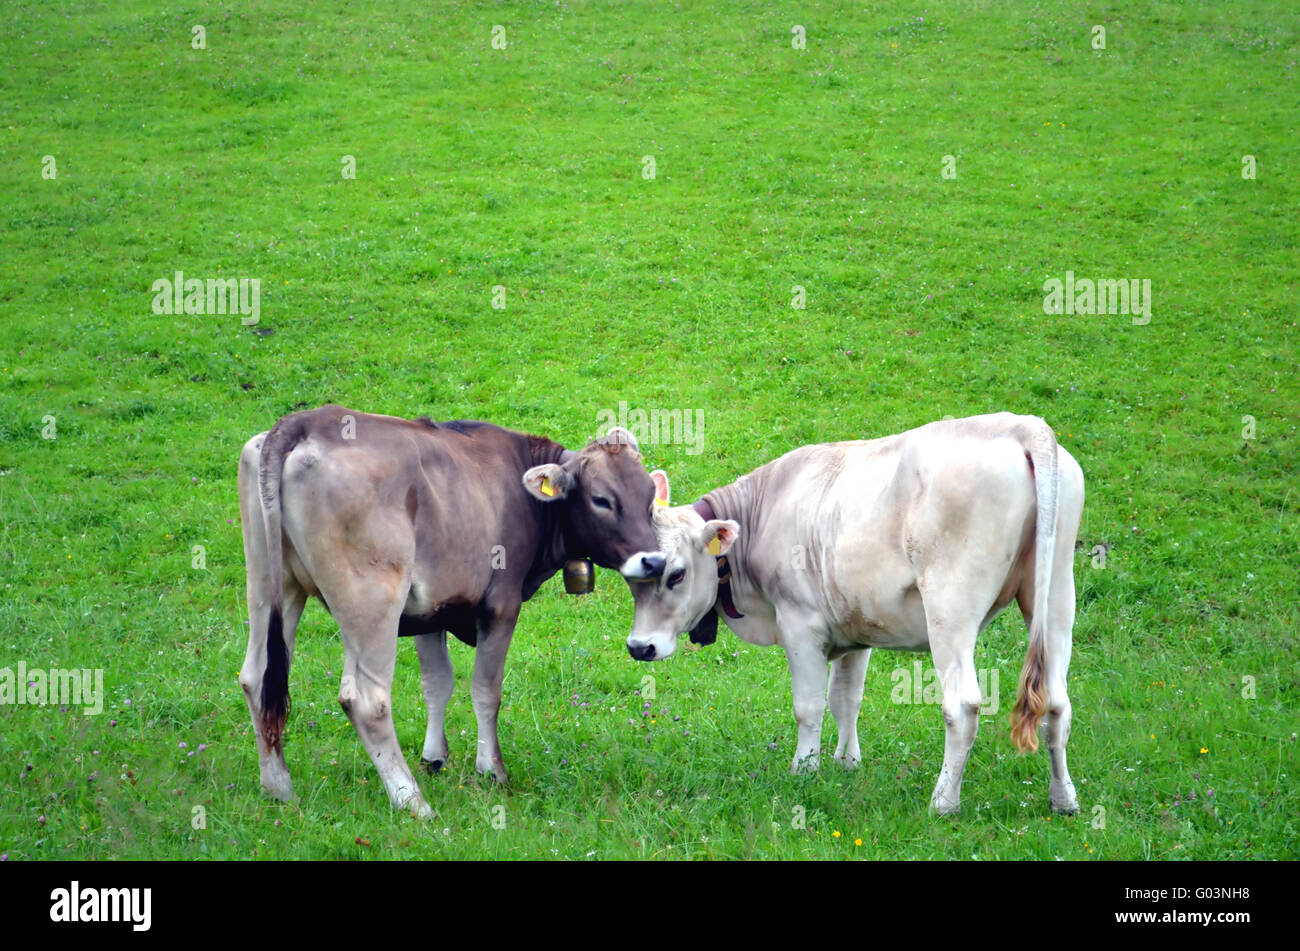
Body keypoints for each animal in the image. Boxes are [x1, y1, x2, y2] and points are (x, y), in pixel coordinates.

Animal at [238, 405, 669, 817]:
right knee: (365, 700)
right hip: (371, 600)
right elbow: (486, 690)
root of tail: (307, 421)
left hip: (269, 582)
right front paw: (491, 770)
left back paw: (278, 788)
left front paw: (434, 757)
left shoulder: (429, 611)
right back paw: (412, 801)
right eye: (602, 500)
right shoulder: (501, 605)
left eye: (649, 497)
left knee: (256, 676)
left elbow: (437, 682)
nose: (654, 561)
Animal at [624, 413, 1084, 816]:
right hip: (1056, 593)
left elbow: (809, 705)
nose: (638, 646)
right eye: (631, 578)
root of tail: (1020, 424)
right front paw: (846, 764)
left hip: (950, 607)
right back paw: (1063, 800)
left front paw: (803, 771)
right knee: (1057, 703)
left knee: (963, 705)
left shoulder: (800, 624)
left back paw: (943, 803)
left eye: (676, 574)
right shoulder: (855, 627)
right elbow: (845, 699)